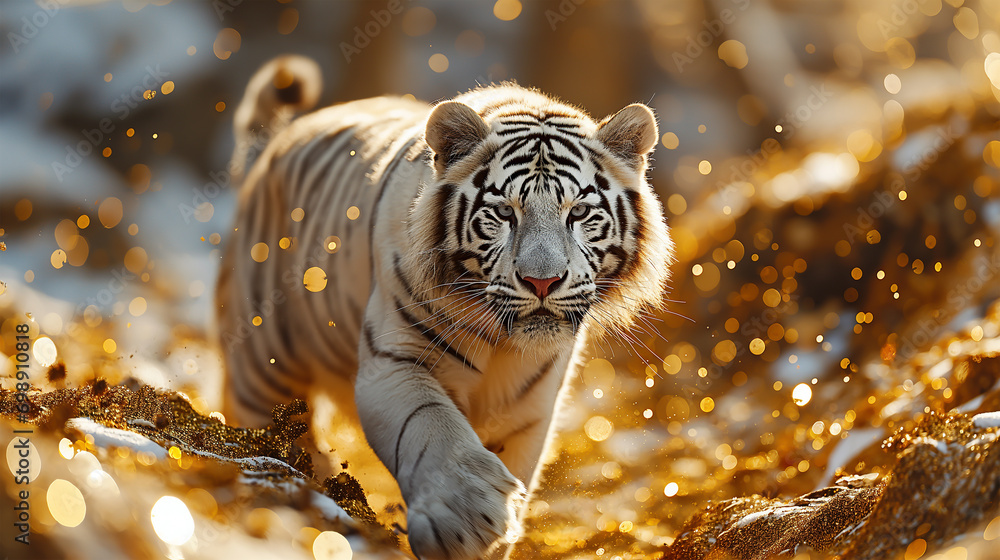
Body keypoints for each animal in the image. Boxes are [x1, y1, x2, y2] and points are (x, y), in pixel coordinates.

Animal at [216, 55, 673, 559]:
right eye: (504, 213)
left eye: (578, 213)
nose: (543, 281)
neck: (502, 343)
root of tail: (276, 146)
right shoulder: (394, 361)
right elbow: (431, 426)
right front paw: (465, 519)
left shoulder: (530, 408)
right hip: (262, 363)